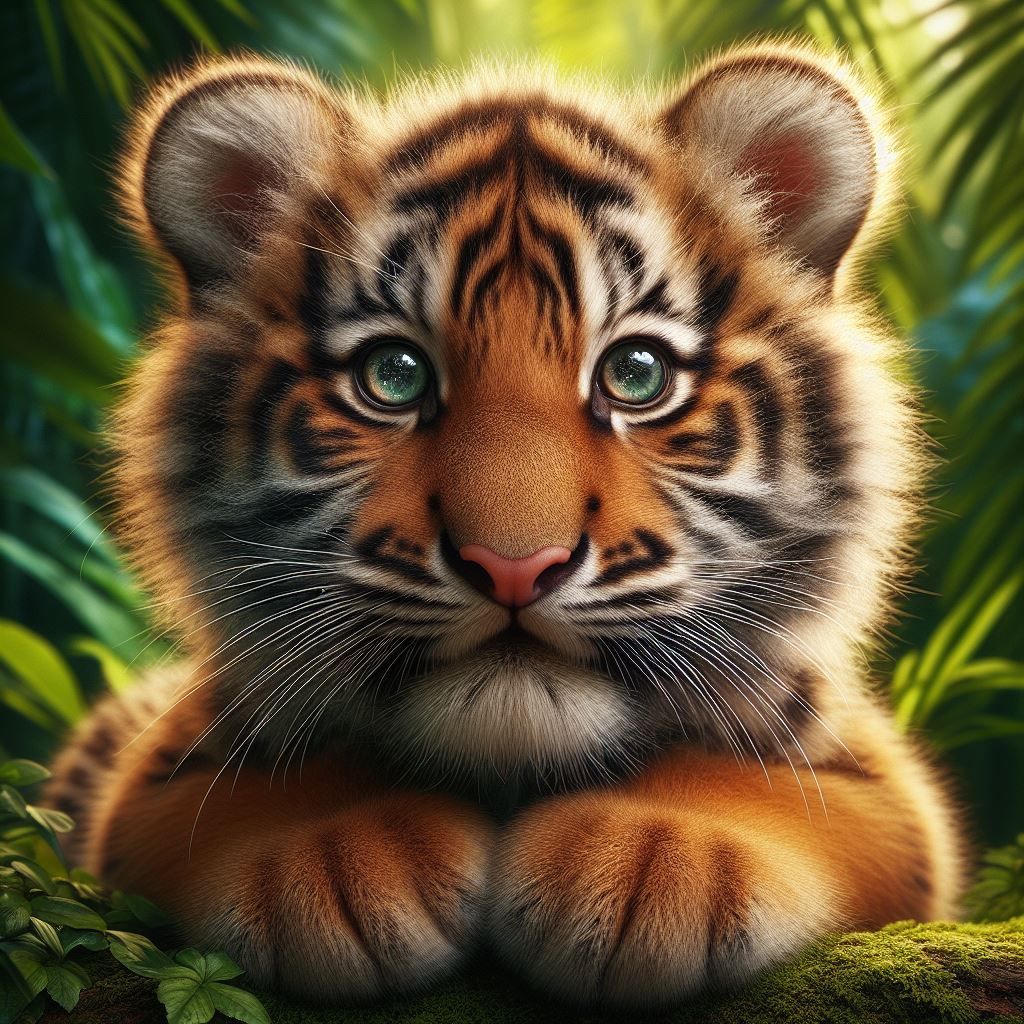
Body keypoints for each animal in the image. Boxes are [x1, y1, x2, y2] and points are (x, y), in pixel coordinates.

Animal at [46, 42, 964, 1008]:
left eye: (637, 374)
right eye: (393, 375)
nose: (515, 565)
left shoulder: (882, 784)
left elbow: (779, 788)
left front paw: (647, 863)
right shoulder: (155, 771)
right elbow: (227, 799)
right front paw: (337, 861)